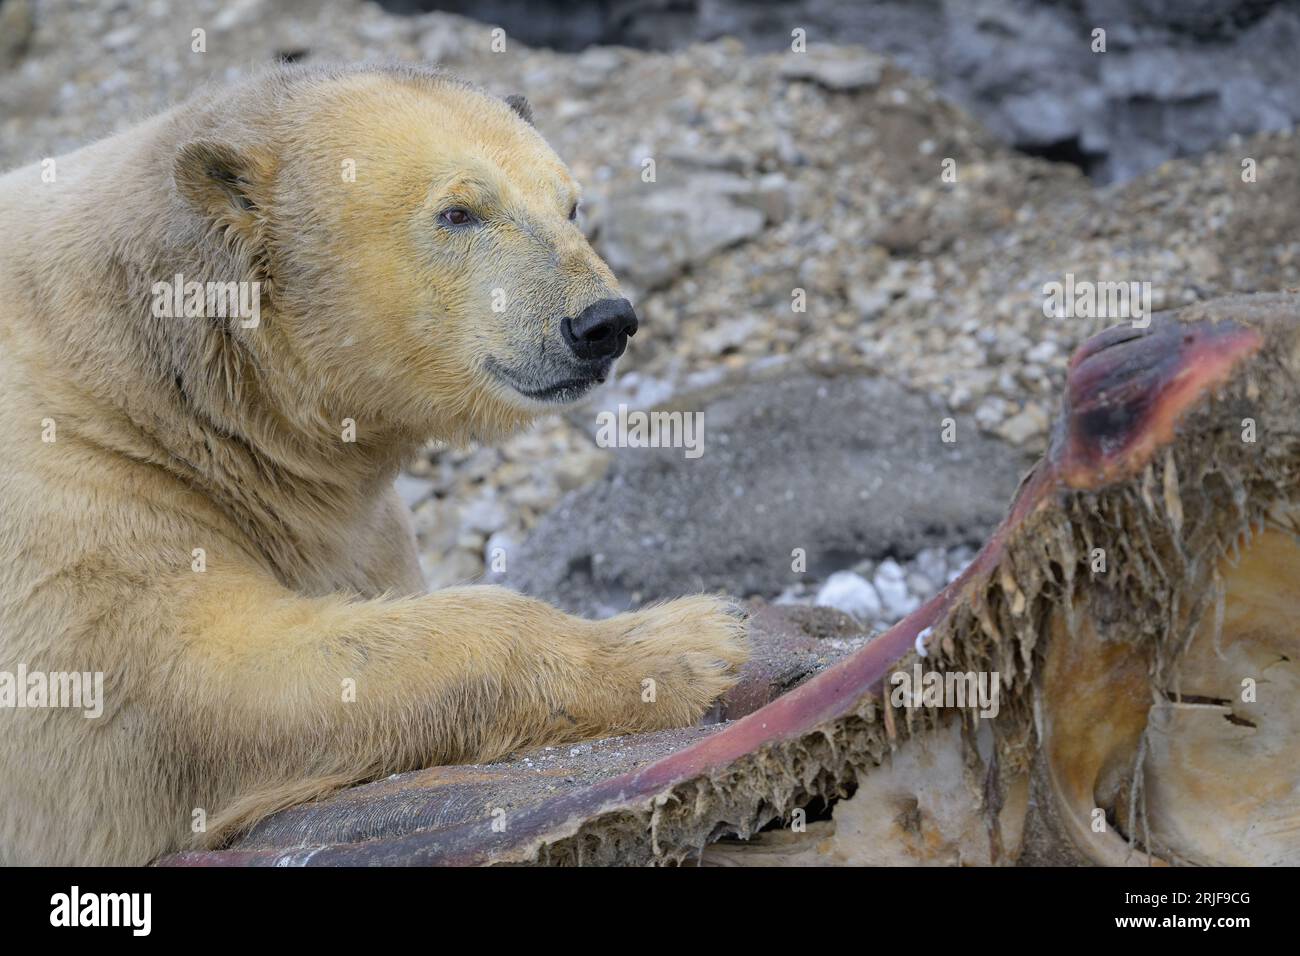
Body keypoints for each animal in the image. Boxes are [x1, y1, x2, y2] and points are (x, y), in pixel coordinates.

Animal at [0, 63, 747, 865]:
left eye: (571, 203)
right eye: (459, 212)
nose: (602, 322)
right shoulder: (70, 493)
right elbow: (195, 684)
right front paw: (688, 641)